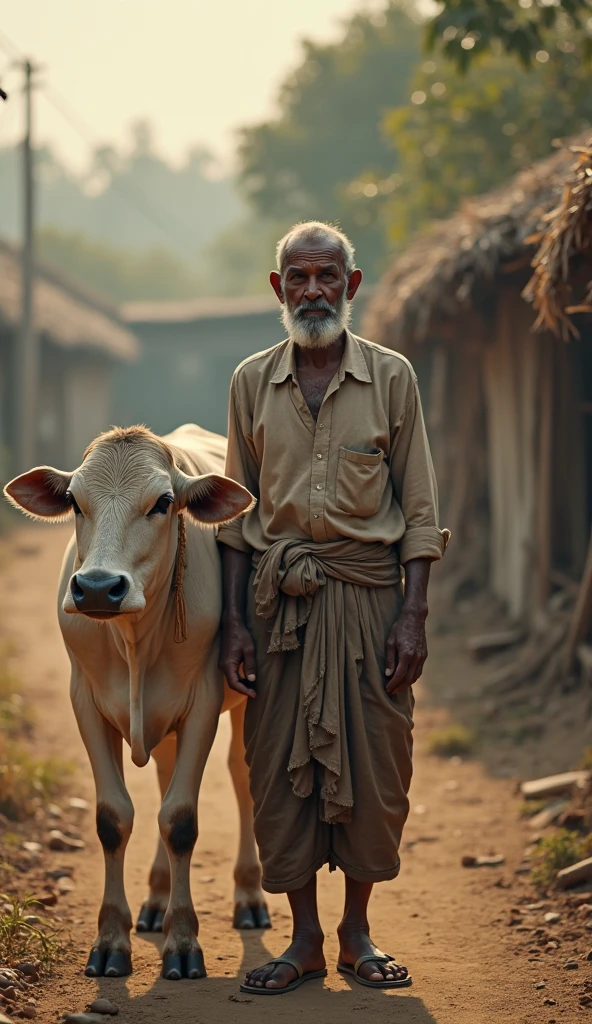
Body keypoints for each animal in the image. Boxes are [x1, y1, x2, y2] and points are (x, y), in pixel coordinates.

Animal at [4, 423, 270, 981]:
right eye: (75, 502)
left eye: (164, 503)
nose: (97, 587)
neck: (133, 640)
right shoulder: (84, 700)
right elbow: (114, 818)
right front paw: (111, 940)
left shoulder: (203, 703)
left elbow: (181, 820)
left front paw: (183, 941)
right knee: (166, 778)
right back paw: (155, 899)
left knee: (240, 779)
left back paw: (248, 895)